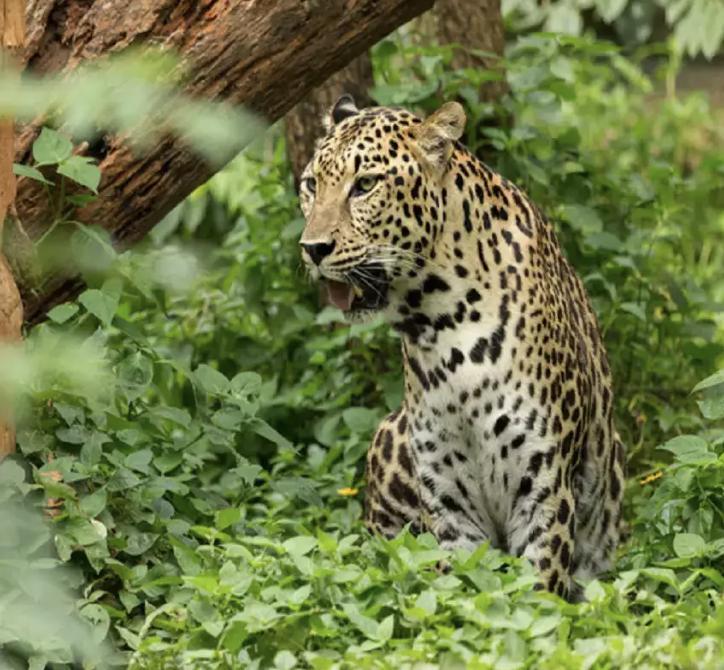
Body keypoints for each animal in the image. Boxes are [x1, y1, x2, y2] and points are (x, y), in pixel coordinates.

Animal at [298, 94, 625, 600]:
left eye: (365, 185)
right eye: (311, 184)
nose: (312, 248)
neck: (441, 323)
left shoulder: (544, 485)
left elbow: (536, 596)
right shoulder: (447, 491)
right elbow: (460, 593)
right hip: (389, 435)